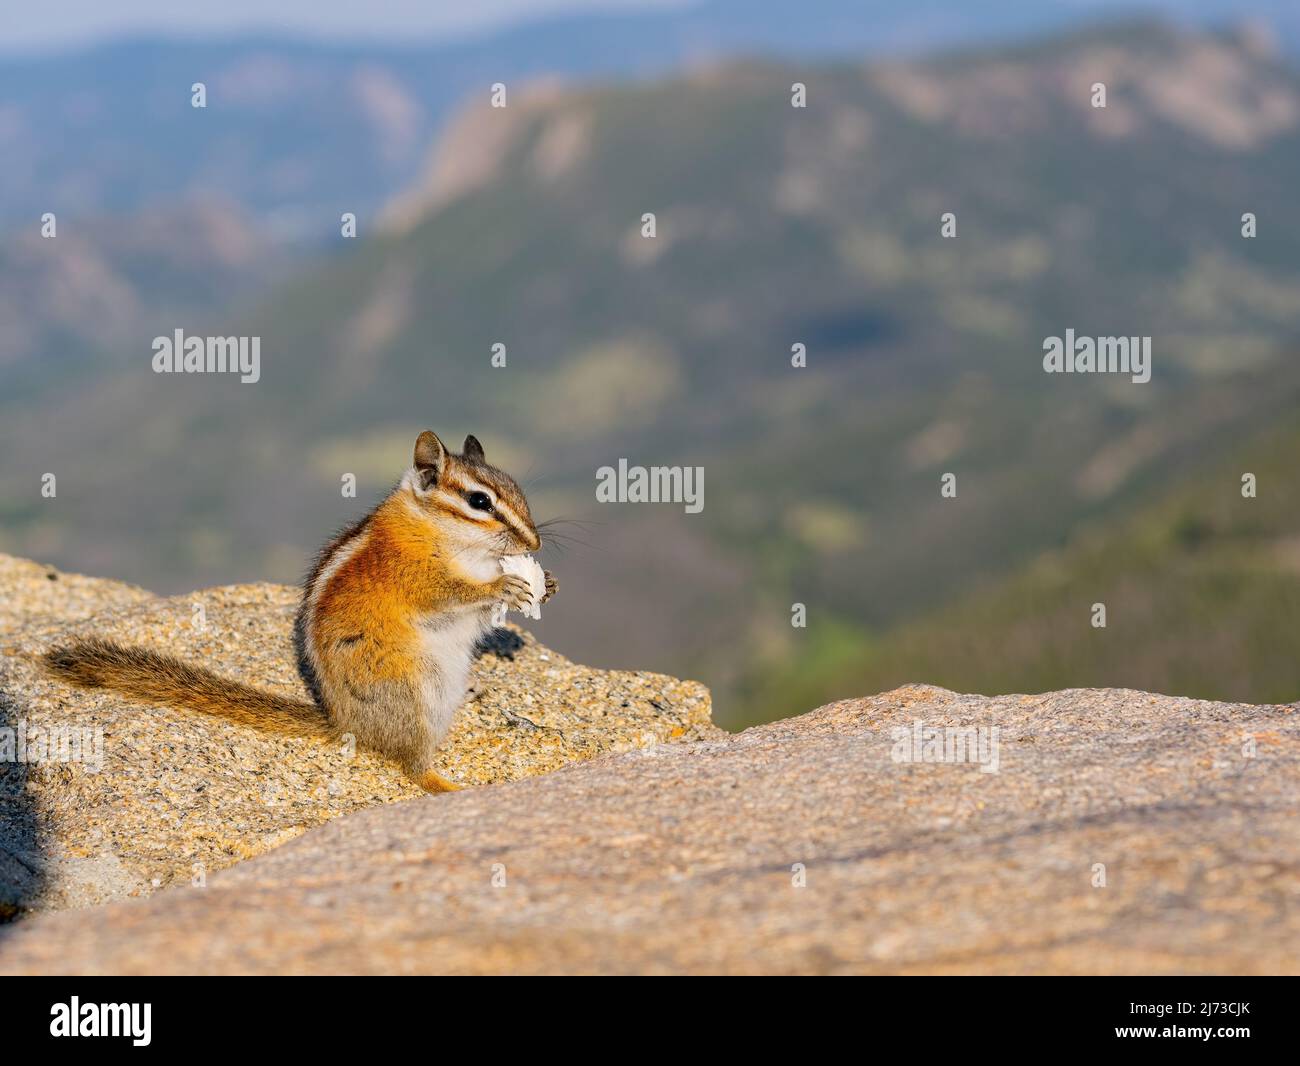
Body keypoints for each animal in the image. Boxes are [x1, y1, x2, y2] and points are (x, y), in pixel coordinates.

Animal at [43, 430, 557, 793]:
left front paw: (544, 584)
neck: (437, 528)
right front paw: (504, 584)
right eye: (479, 501)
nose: (535, 543)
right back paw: (448, 786)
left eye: (516, 489)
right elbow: (450, 593)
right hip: (412, 692)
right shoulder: (415, 573)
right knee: (411, 765)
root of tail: (346, 725)